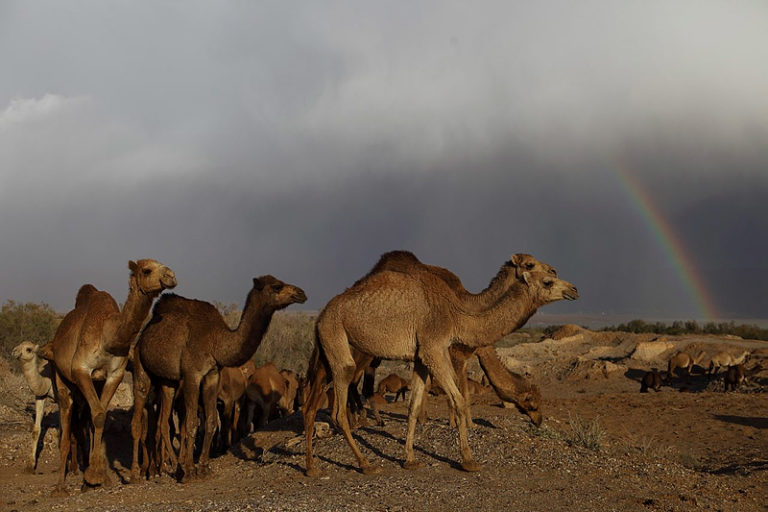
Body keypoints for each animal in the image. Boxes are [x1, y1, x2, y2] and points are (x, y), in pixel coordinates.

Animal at [44, 259, 176, 493]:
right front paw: (94, 476)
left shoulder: (115, 374)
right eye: (147, 270)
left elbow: (101, 415)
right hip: (59, 373)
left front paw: (98, 477)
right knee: (66, 413)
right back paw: (60, 487)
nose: (171, 276)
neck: (108, 336)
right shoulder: (80, 369)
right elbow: (97, 414)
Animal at [130, 275, 305, 482]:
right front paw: (190, 471)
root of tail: (143, 335)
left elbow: (212, 421)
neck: (216, 341)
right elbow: (191, 423)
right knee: (139, 416)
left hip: (167, 381)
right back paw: (137, 474)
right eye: (277, 286)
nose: (301, 293)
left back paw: (173, 466)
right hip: (141, 364)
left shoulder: (213, 374)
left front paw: (203, 468)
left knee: (163, 422)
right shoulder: (192, 375)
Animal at [306, 267, 577, 476]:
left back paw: (312, 468)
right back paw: (366, 464)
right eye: (547, 280)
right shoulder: (434, 348)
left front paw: (410, 459)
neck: (456, 314)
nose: (573, 289)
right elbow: (458, 399)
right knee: (339, 410)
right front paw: (468, 460)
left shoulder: (420, 357)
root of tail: (320, 317)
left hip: (327, 352)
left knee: (312, 405)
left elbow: (413, 407)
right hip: (337, 340)